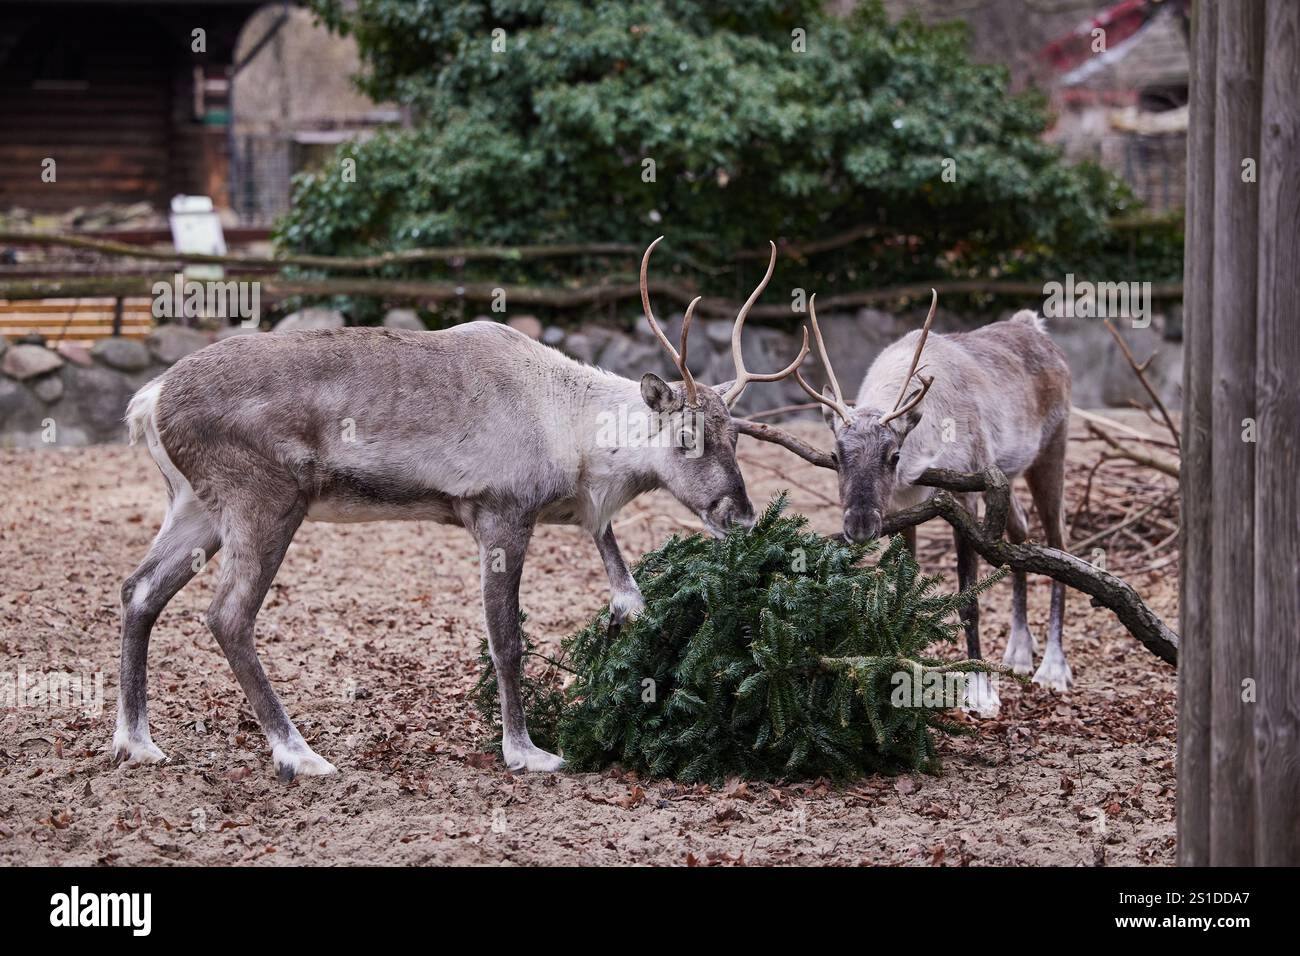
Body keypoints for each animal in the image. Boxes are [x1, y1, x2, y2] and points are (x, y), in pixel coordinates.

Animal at [112, 237, 810, 779]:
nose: (741, 516)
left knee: (139, 589)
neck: (567, 420)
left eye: (737, 436)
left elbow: (625, 589)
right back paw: (298, 755)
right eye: (688, 436)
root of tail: (152, 398)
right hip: (265, 503)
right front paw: (527, 752)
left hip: (197, 509)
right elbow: (507, 640)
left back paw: (137, 742)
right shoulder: (502, 517)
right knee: (228, 615)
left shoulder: (579, 517)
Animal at [768, 294, 1073, 718]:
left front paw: (981, 691)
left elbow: (969, 601)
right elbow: (903, 593)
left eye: (893, 455)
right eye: (835, 455)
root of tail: (1034, 328)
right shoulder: (901, 508)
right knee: (1021, 530)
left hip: (1051, 449)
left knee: (1059, 543)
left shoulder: (965, 494)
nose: (859, 525)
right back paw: (1018, 653)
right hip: (1007, 477)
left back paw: (1053, 668)